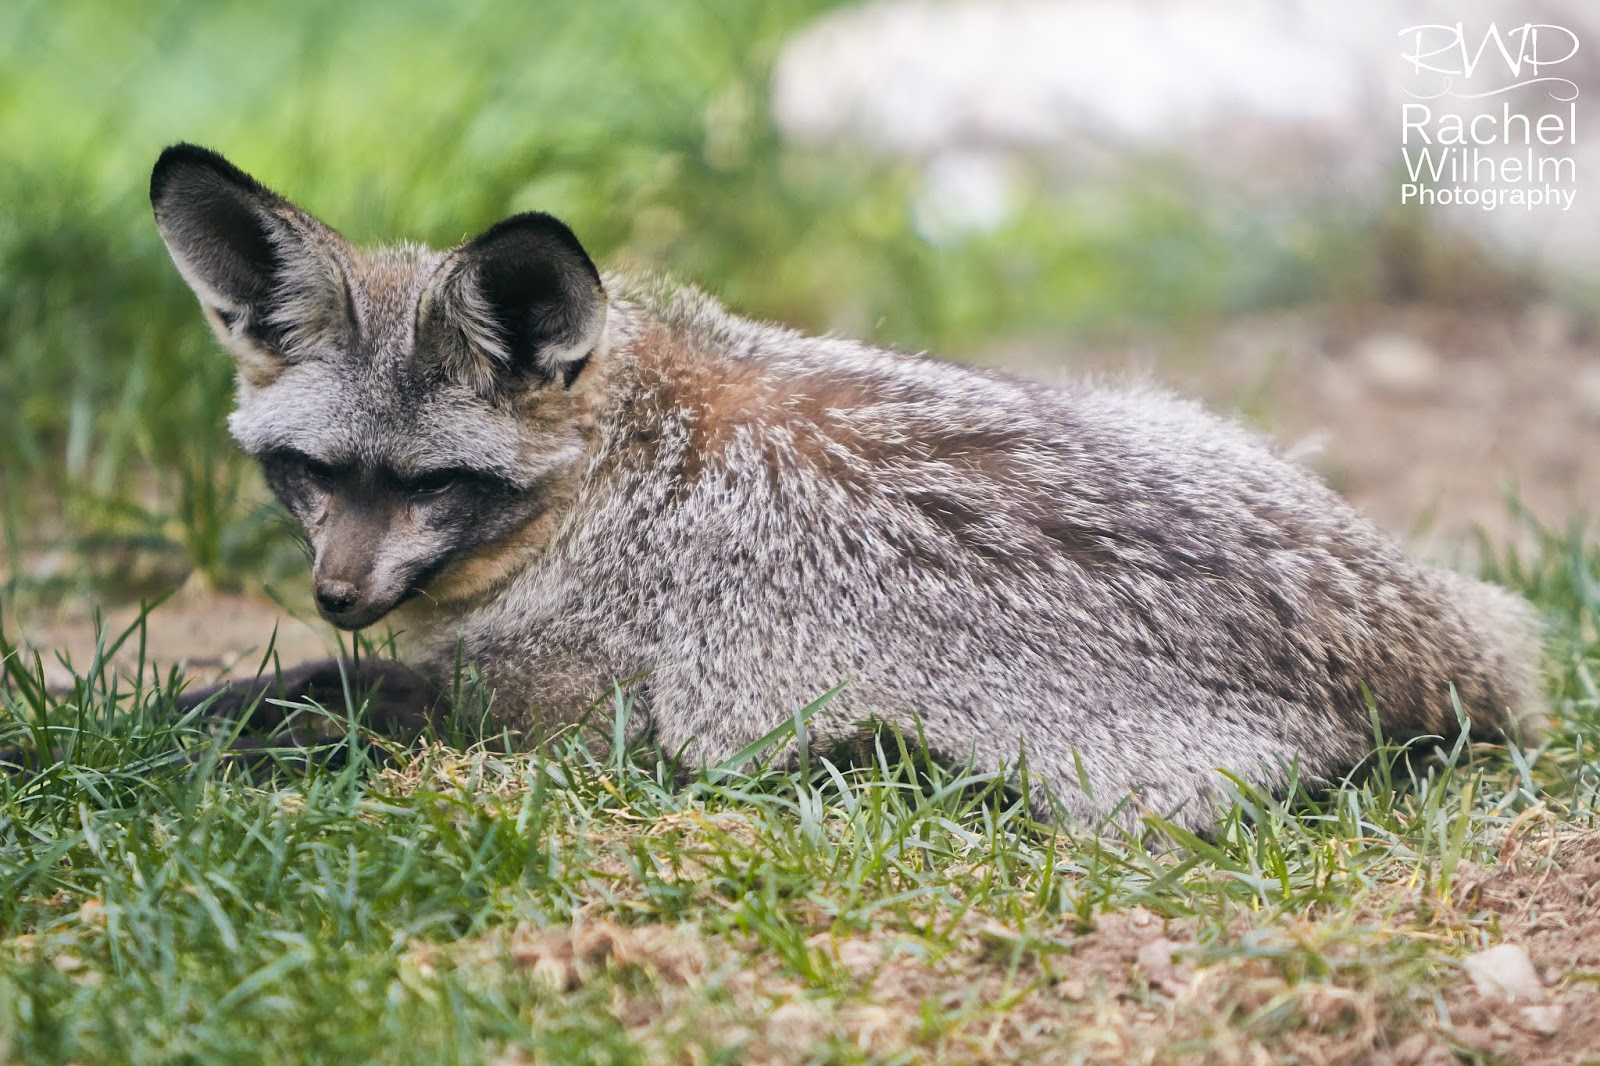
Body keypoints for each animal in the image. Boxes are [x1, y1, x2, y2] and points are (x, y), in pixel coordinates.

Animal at [146, 143, 1543, 832]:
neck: (620, 469)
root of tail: (1432, 658)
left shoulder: (545, 713)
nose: (335, 593)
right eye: (307, 474)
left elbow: (310, 699)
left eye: (433, 482)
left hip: (909, 759)